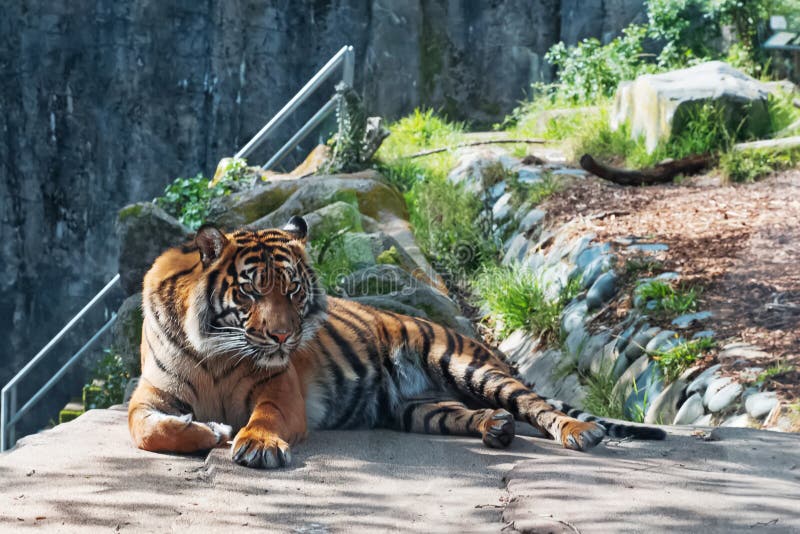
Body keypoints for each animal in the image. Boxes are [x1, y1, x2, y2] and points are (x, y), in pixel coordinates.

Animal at [128, 216, 665, 468]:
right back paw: (495, 428)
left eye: (293, 290)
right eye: (251, 291)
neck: (214, 352)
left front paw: (255, 444)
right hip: (413, 408)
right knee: (468, 412)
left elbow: (266, 416)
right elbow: (149, 431)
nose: (283, 335)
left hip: (465, 364)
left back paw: (578, 432)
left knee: (536, 404)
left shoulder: (281, 388)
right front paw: (212, 430)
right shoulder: (149, 396)